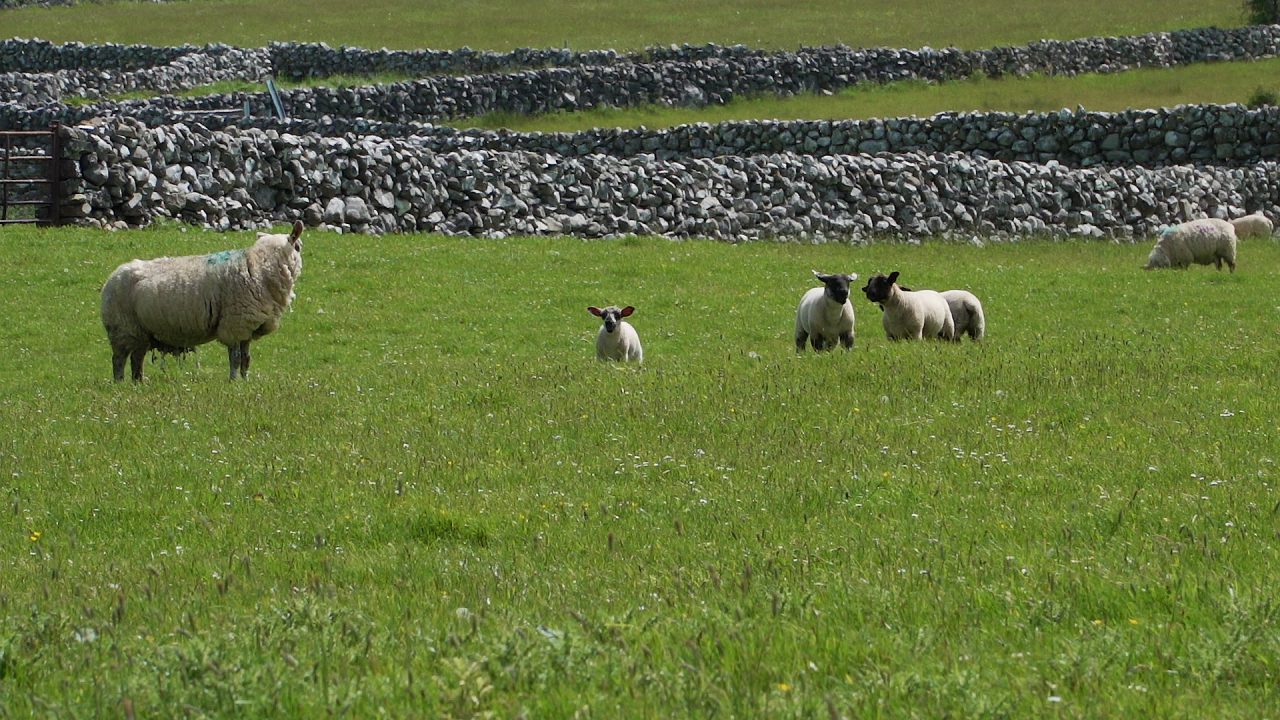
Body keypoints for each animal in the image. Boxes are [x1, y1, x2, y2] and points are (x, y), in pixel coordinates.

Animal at [101, 220, 304, 382]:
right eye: (299, 247)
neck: (261, 266)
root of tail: (111, 278)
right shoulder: (234, 324)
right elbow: (235, 357)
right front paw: (233, 381)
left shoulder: (247, 326)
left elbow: (246, 359)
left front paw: (246, 380)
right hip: (122, 328)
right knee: (119, 359)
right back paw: (120, 382)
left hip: (140, 332)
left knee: (137, 358)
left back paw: (138, 382)